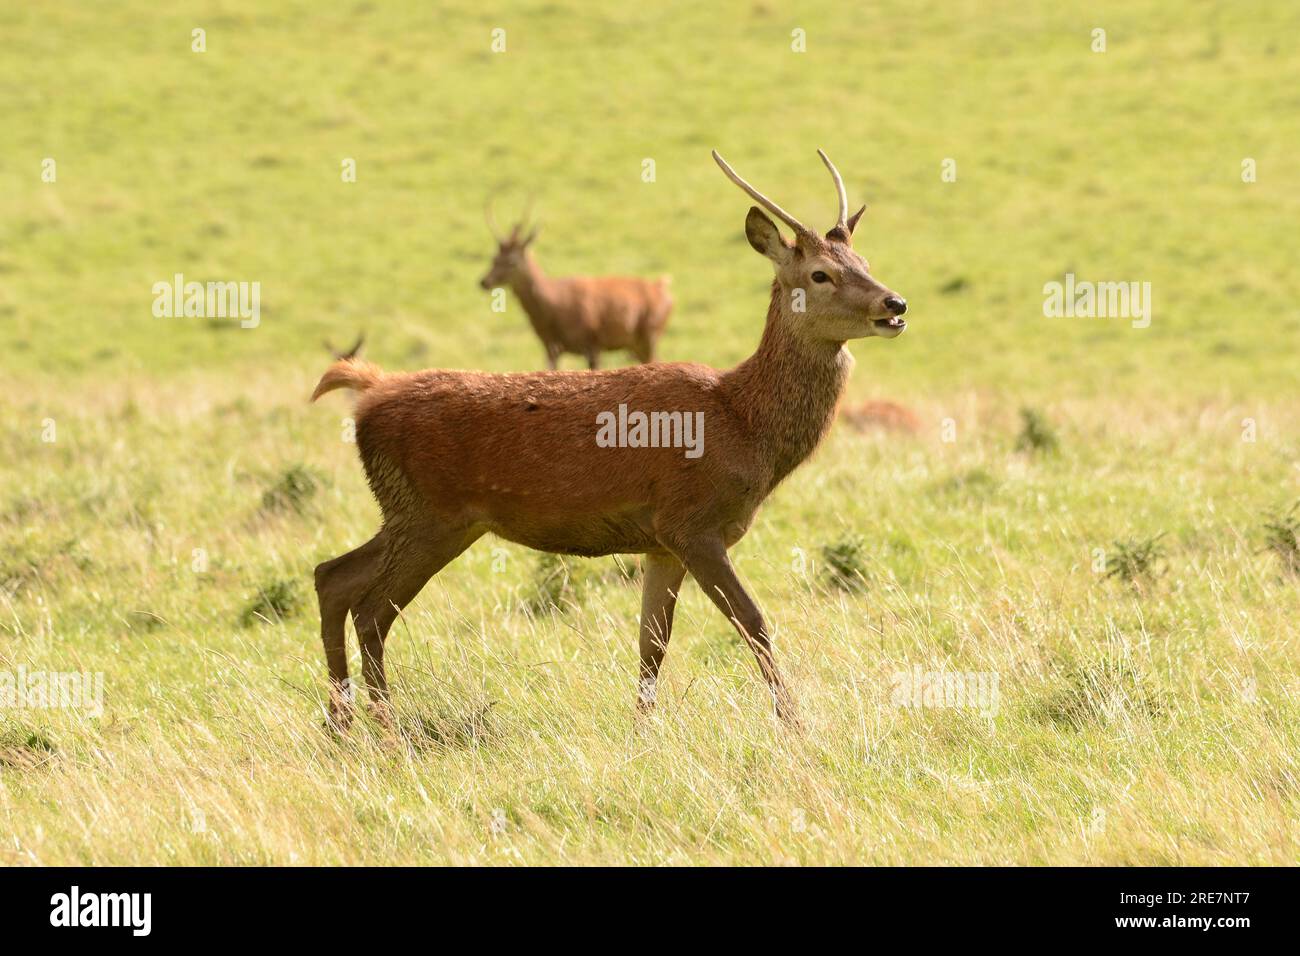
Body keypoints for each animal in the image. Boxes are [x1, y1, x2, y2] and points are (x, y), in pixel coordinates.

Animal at [478, 204, 674, 370]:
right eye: (494, 257)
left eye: (512, 262)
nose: (484, 281)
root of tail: (664, 289)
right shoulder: (550, 347)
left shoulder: (593, 342)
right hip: (636, 344)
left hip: (650, 333)